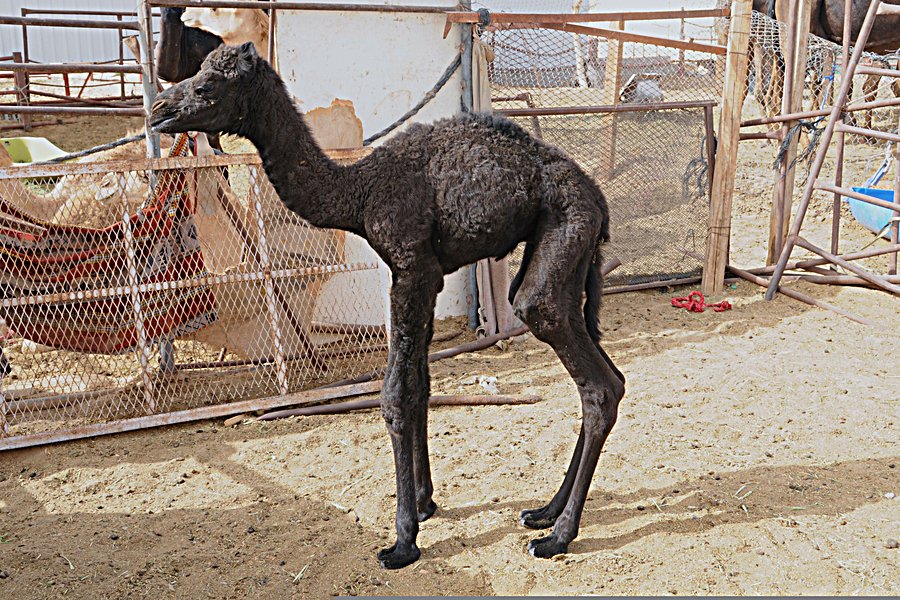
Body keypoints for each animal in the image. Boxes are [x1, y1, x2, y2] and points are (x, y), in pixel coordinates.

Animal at [150, 43, 625, 569]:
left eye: (207, 85)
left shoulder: (410, 266)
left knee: (592, 377)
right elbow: (420, 384)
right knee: (609, 374)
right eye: (197, 71)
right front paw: (423, 501)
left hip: (560, 239)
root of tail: (598, 201)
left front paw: (402, 539)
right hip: (567, 257)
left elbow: (395, 394)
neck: (360, 192)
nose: (160, 110)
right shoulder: (428, 274)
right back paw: (543, 511)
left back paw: (558, 536)